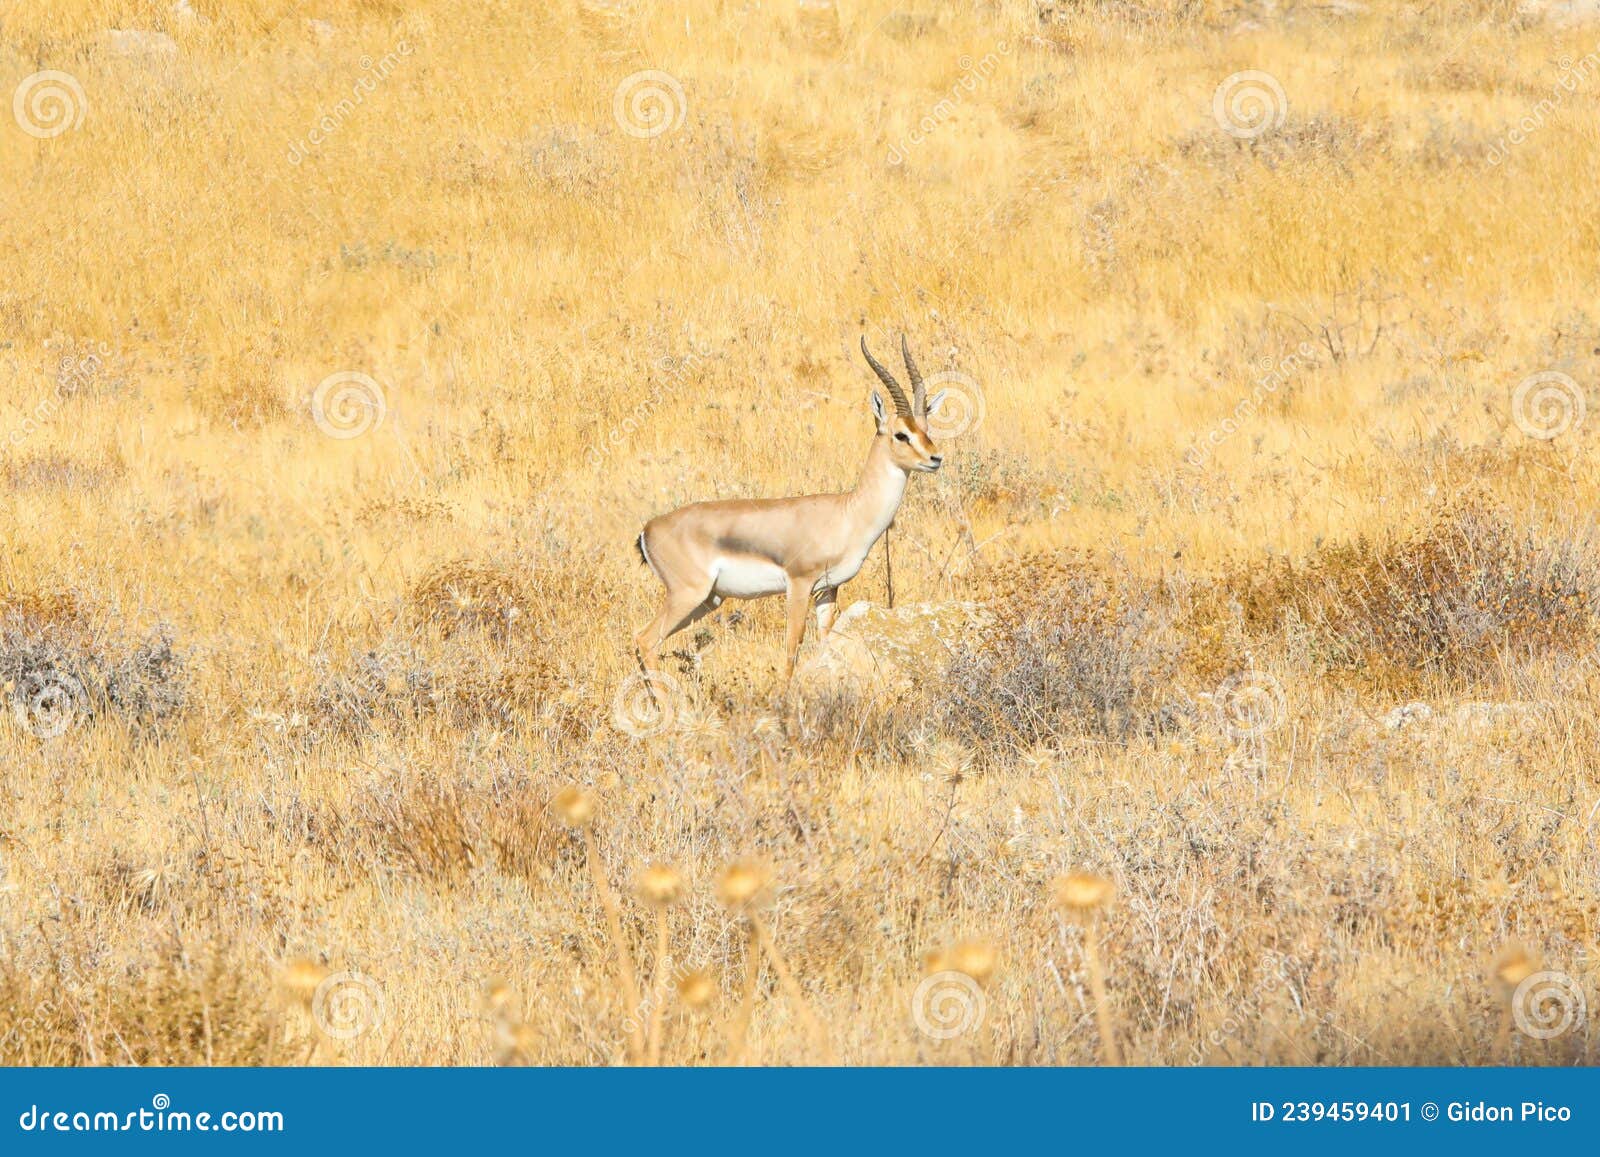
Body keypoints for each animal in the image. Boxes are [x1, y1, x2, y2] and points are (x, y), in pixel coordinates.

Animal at [634, 335, 947, 686]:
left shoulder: (828, 589)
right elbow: (791, 647)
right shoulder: (799, 583)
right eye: (901, 434)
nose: (935, 459)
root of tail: (648, 529)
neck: (847, 514)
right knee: (644, 639)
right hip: (687, 594)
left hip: (708, 599)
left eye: (926, 429)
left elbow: (825, 642)